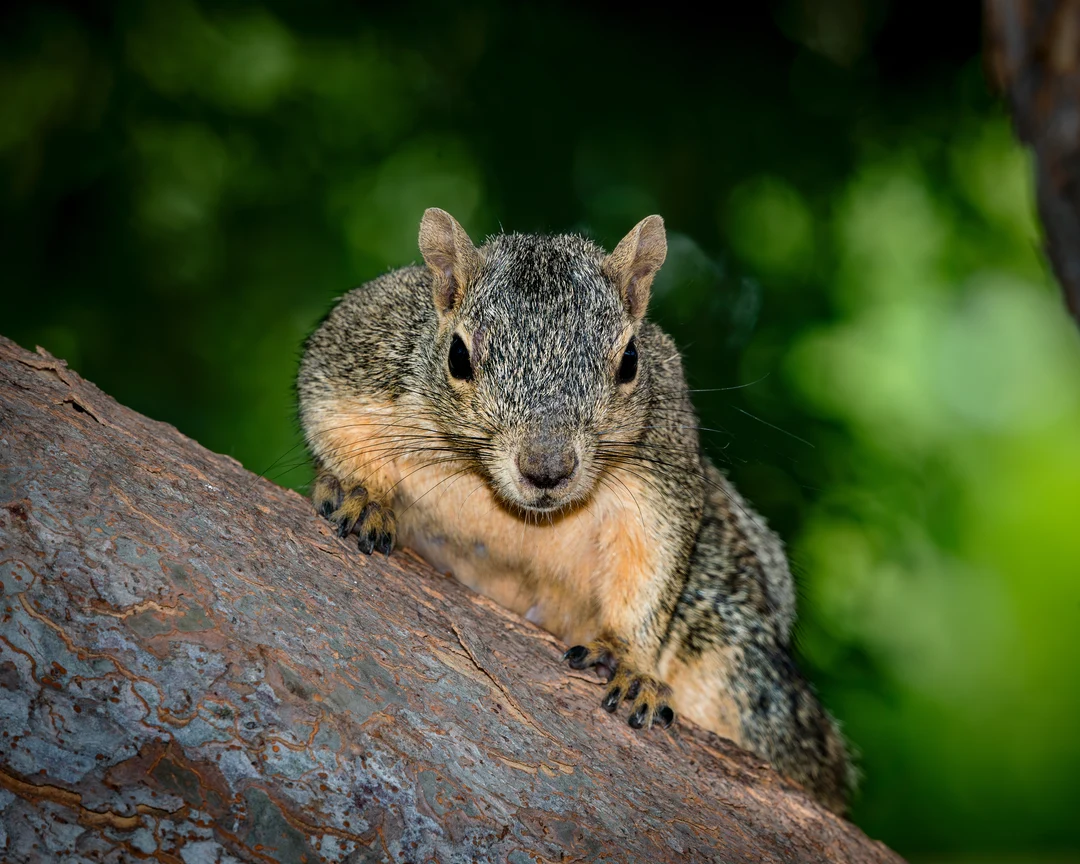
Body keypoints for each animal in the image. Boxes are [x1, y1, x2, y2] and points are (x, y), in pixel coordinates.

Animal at [297, 208, 854, 814]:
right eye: (458, 357)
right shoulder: (365, 347)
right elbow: (330, 413)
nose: (547, 468)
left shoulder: (660, 469)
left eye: (630, 361)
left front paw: (628, 658)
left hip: (738, 665)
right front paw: (361, 494)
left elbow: (652, 564)